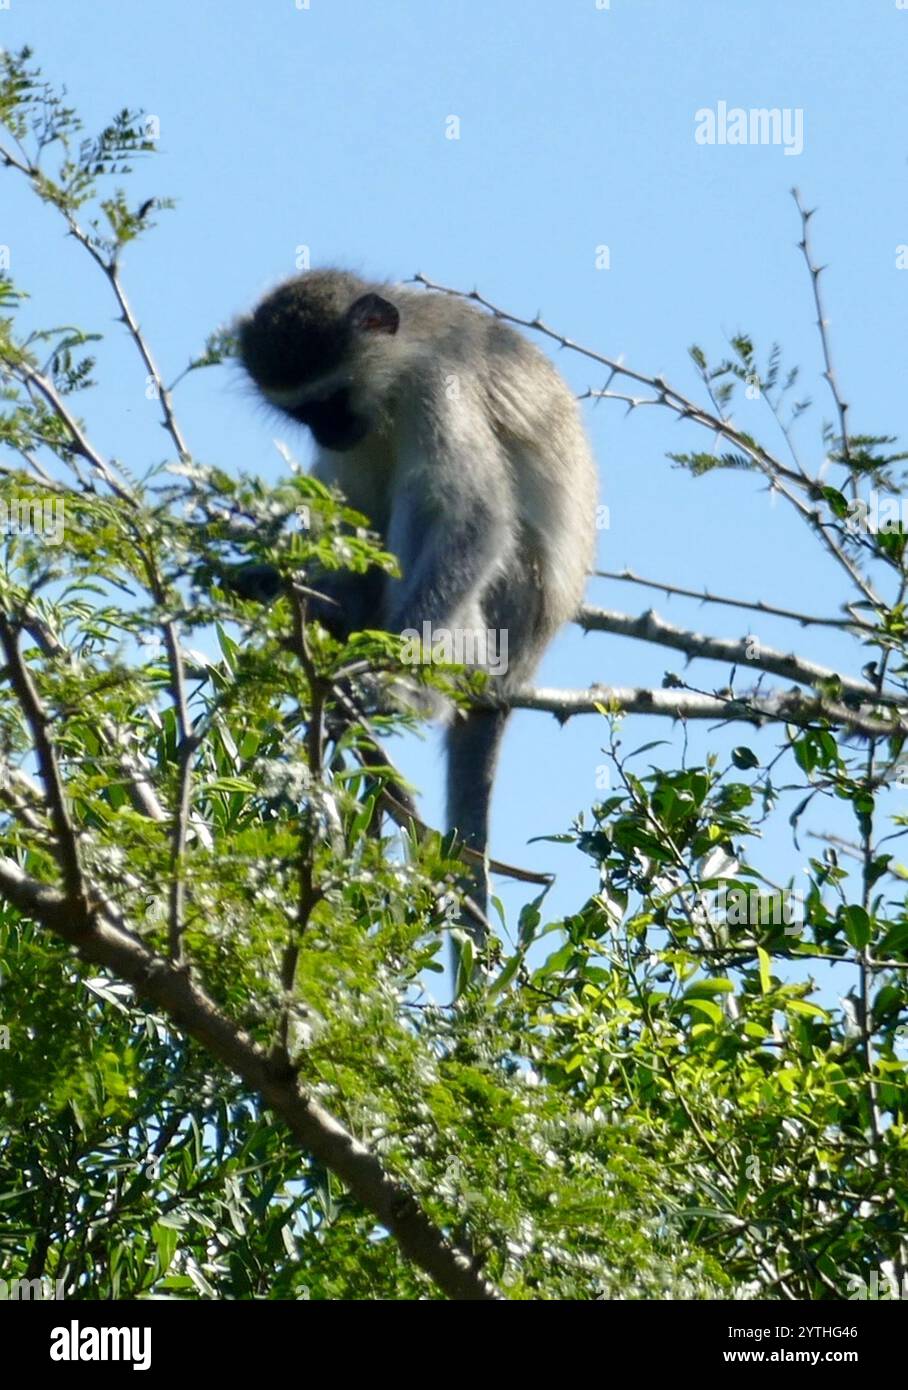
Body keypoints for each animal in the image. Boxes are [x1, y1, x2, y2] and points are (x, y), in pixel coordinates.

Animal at [237, 269, 598, 945]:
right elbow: (354, 515)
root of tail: (519, 675)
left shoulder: (440, 389)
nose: (325, 434)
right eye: (299, 412)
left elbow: (473, 517)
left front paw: (387, 673)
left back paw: (414, 688)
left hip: (511, 610)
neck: (396, 374)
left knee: (429, 508)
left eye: (331, 399)